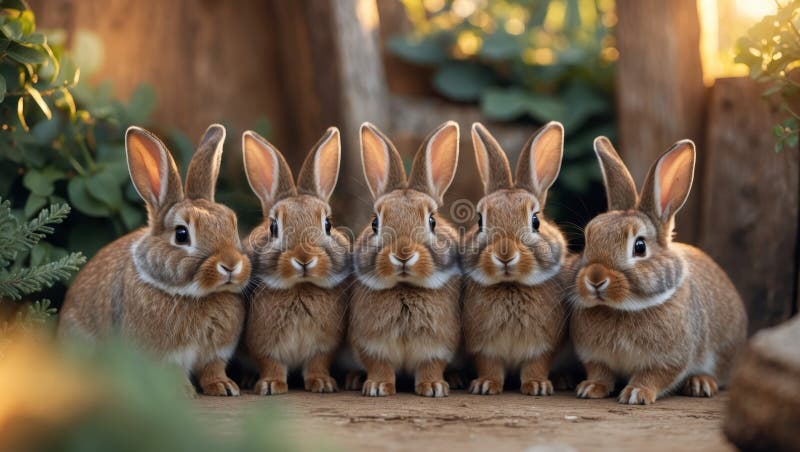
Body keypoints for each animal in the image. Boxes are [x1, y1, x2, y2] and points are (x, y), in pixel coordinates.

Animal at [58, 124, 251, 397]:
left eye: (232, 224)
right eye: (181, 234)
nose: (231, 264)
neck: (194, 295)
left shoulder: (215, 353)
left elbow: (212, 369)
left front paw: (224, 387)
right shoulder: (162, 356)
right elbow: (171, 373)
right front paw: (181, 392)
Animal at [241, 128, 351, 395]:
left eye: (328, 224)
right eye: (273, 227)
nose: (303, 258)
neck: (300, 287)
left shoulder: (324, 346)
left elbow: (317, 363)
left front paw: (322, 383)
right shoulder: (262, 344)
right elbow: (270, 363)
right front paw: (271, 386)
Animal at [349, 121, 461, 397]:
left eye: (432, 221)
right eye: (375, 223)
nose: (403, 254)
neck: (404, 287)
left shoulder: (440, 345)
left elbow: (431, 364)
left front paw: (433, 387)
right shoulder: (369, 344)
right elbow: (378, 365)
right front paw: (378, 387)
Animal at [462, 122, 570, 396]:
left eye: (536, 221)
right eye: (480, 221)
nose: (505, 254)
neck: (511, 285)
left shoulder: (544, 346)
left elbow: (536, 365)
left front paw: (538, 386)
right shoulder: (481, 346)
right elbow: (489, 366)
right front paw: (485, 385)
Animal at [570, 137, 748, 405]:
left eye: (639, 246)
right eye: (588, 240)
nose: (596, 278)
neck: (623, 309)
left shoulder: (669, 360)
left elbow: (654, 376)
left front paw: (636, 394)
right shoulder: (595, 357)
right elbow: (601, 372)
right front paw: (590, 388)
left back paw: (700, 383)